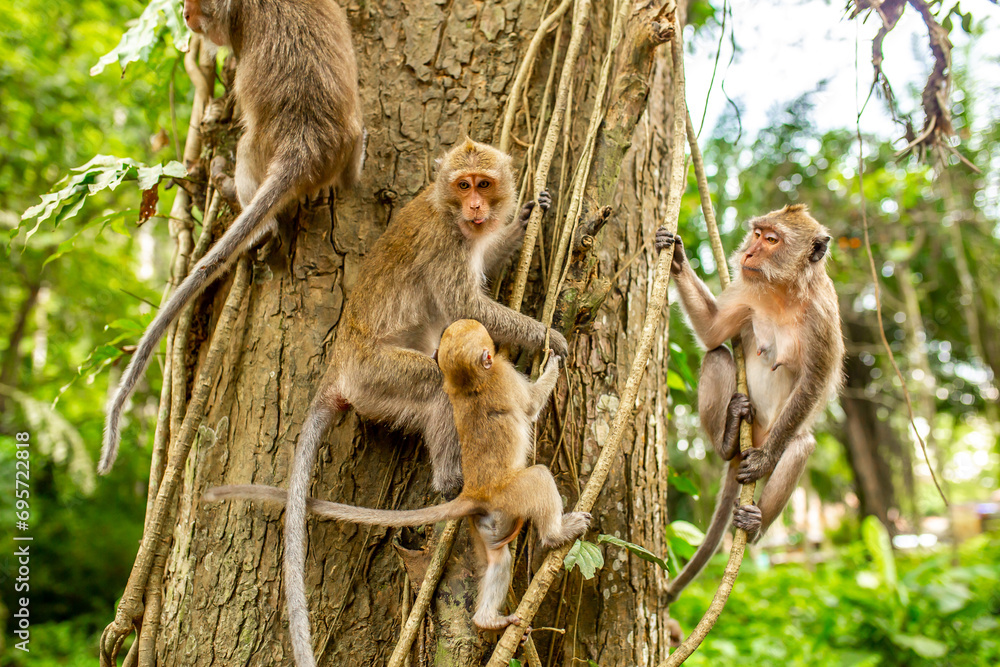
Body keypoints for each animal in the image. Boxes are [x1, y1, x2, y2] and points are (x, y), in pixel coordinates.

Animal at [98, 0, 366, 473]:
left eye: (195, 8)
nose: (186, 18)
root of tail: (305, 147)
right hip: (346, 140)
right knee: (355, 140)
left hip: (259, 150)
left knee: (245, 152)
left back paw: (247, 207)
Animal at [205, 319, 590, 636]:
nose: (495, 345)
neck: (468, 383)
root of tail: (475, 491)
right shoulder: (505, 377)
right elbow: (531, 405)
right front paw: (553, 359)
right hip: (512, 493)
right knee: (539, 478)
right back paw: (557, 534)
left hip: (490, 519)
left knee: (499, 557)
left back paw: (486, 619)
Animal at [655, 204, 844, 603]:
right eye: (757, 234)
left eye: (772, 240)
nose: (749, 253)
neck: (783, 291)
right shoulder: (747, 291)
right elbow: (713, 331)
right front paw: (676, 257)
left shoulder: (823, 313)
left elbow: (814, 379)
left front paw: (766, 462)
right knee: (717, 355)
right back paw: (727, 439)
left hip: (771, 435)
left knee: (801, 444)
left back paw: (755, 523)